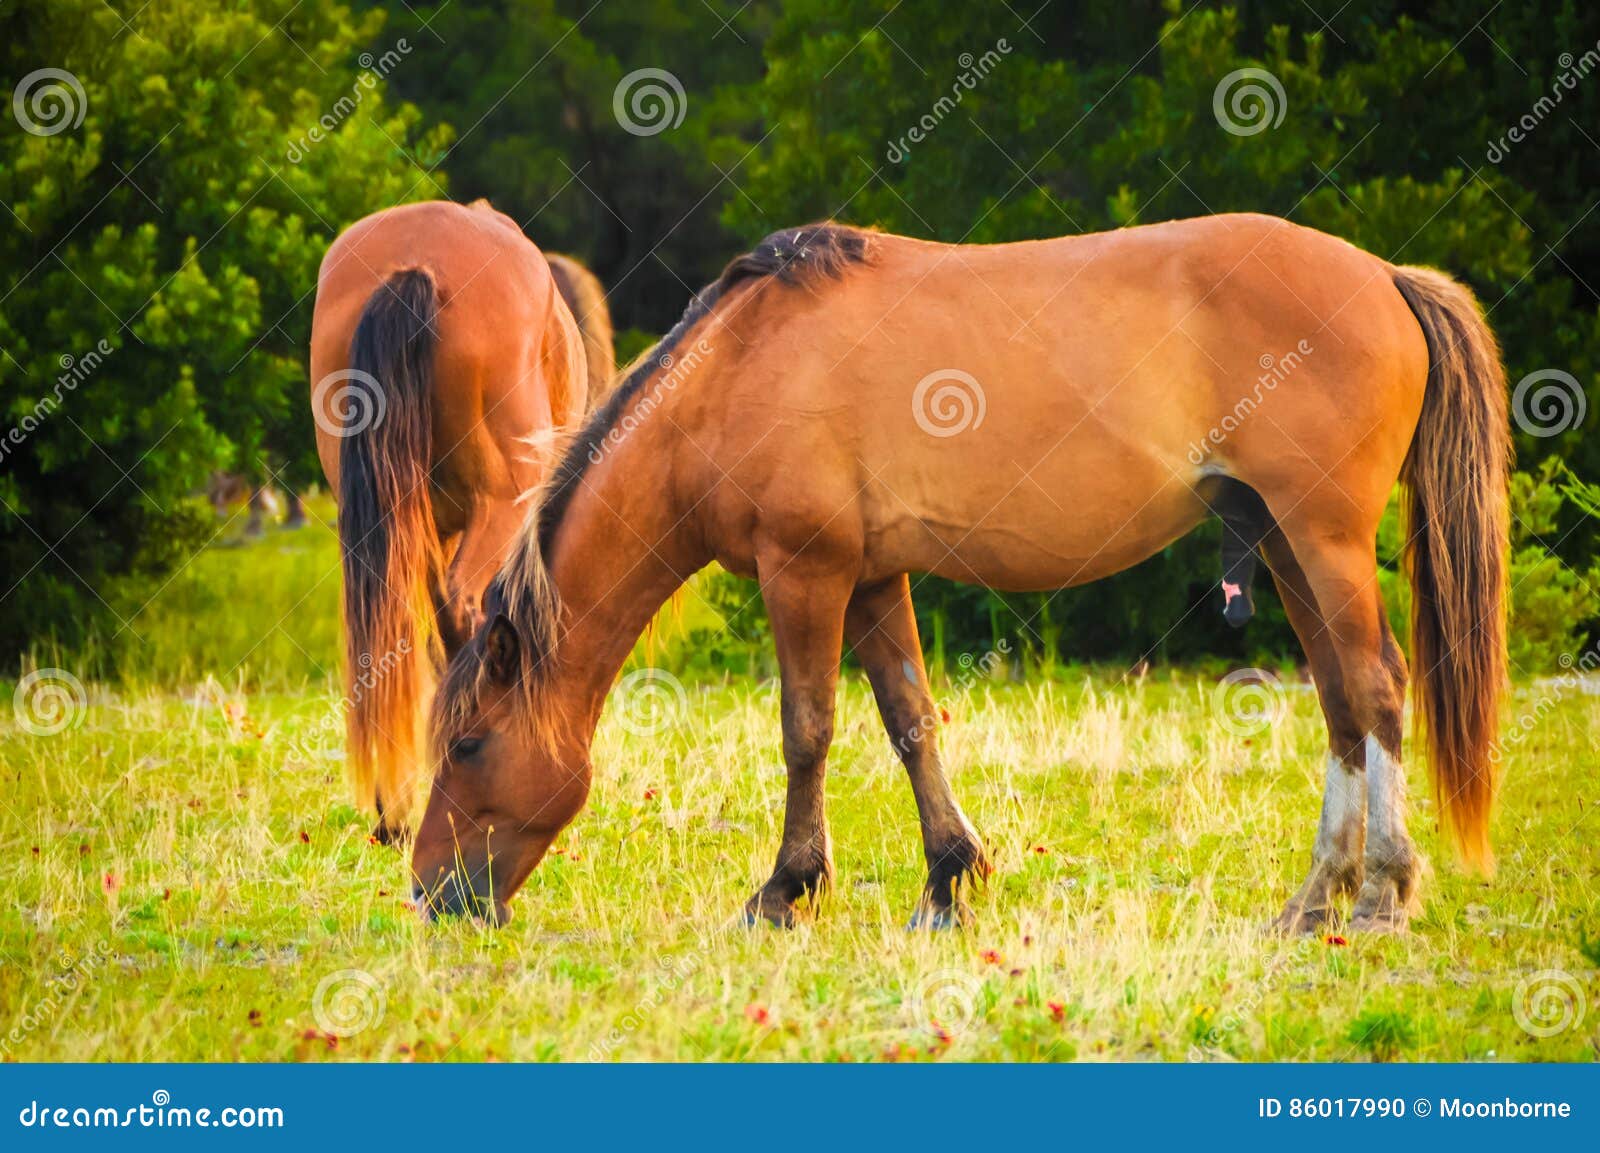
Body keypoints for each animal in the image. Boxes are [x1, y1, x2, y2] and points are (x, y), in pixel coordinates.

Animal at [411, 213, 1508, 935]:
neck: (736, 369)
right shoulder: (869, 579)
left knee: (1375, 690)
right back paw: (1316, 897)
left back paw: (1380, 893)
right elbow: (910, 721)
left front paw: (785, 890)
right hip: (1283, 544)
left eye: (466, 744)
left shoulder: (803, 572)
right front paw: (948, 881)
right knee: (1340, 703)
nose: (428, 892)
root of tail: (1385, 276)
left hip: (1322, 540)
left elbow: (806, 730)